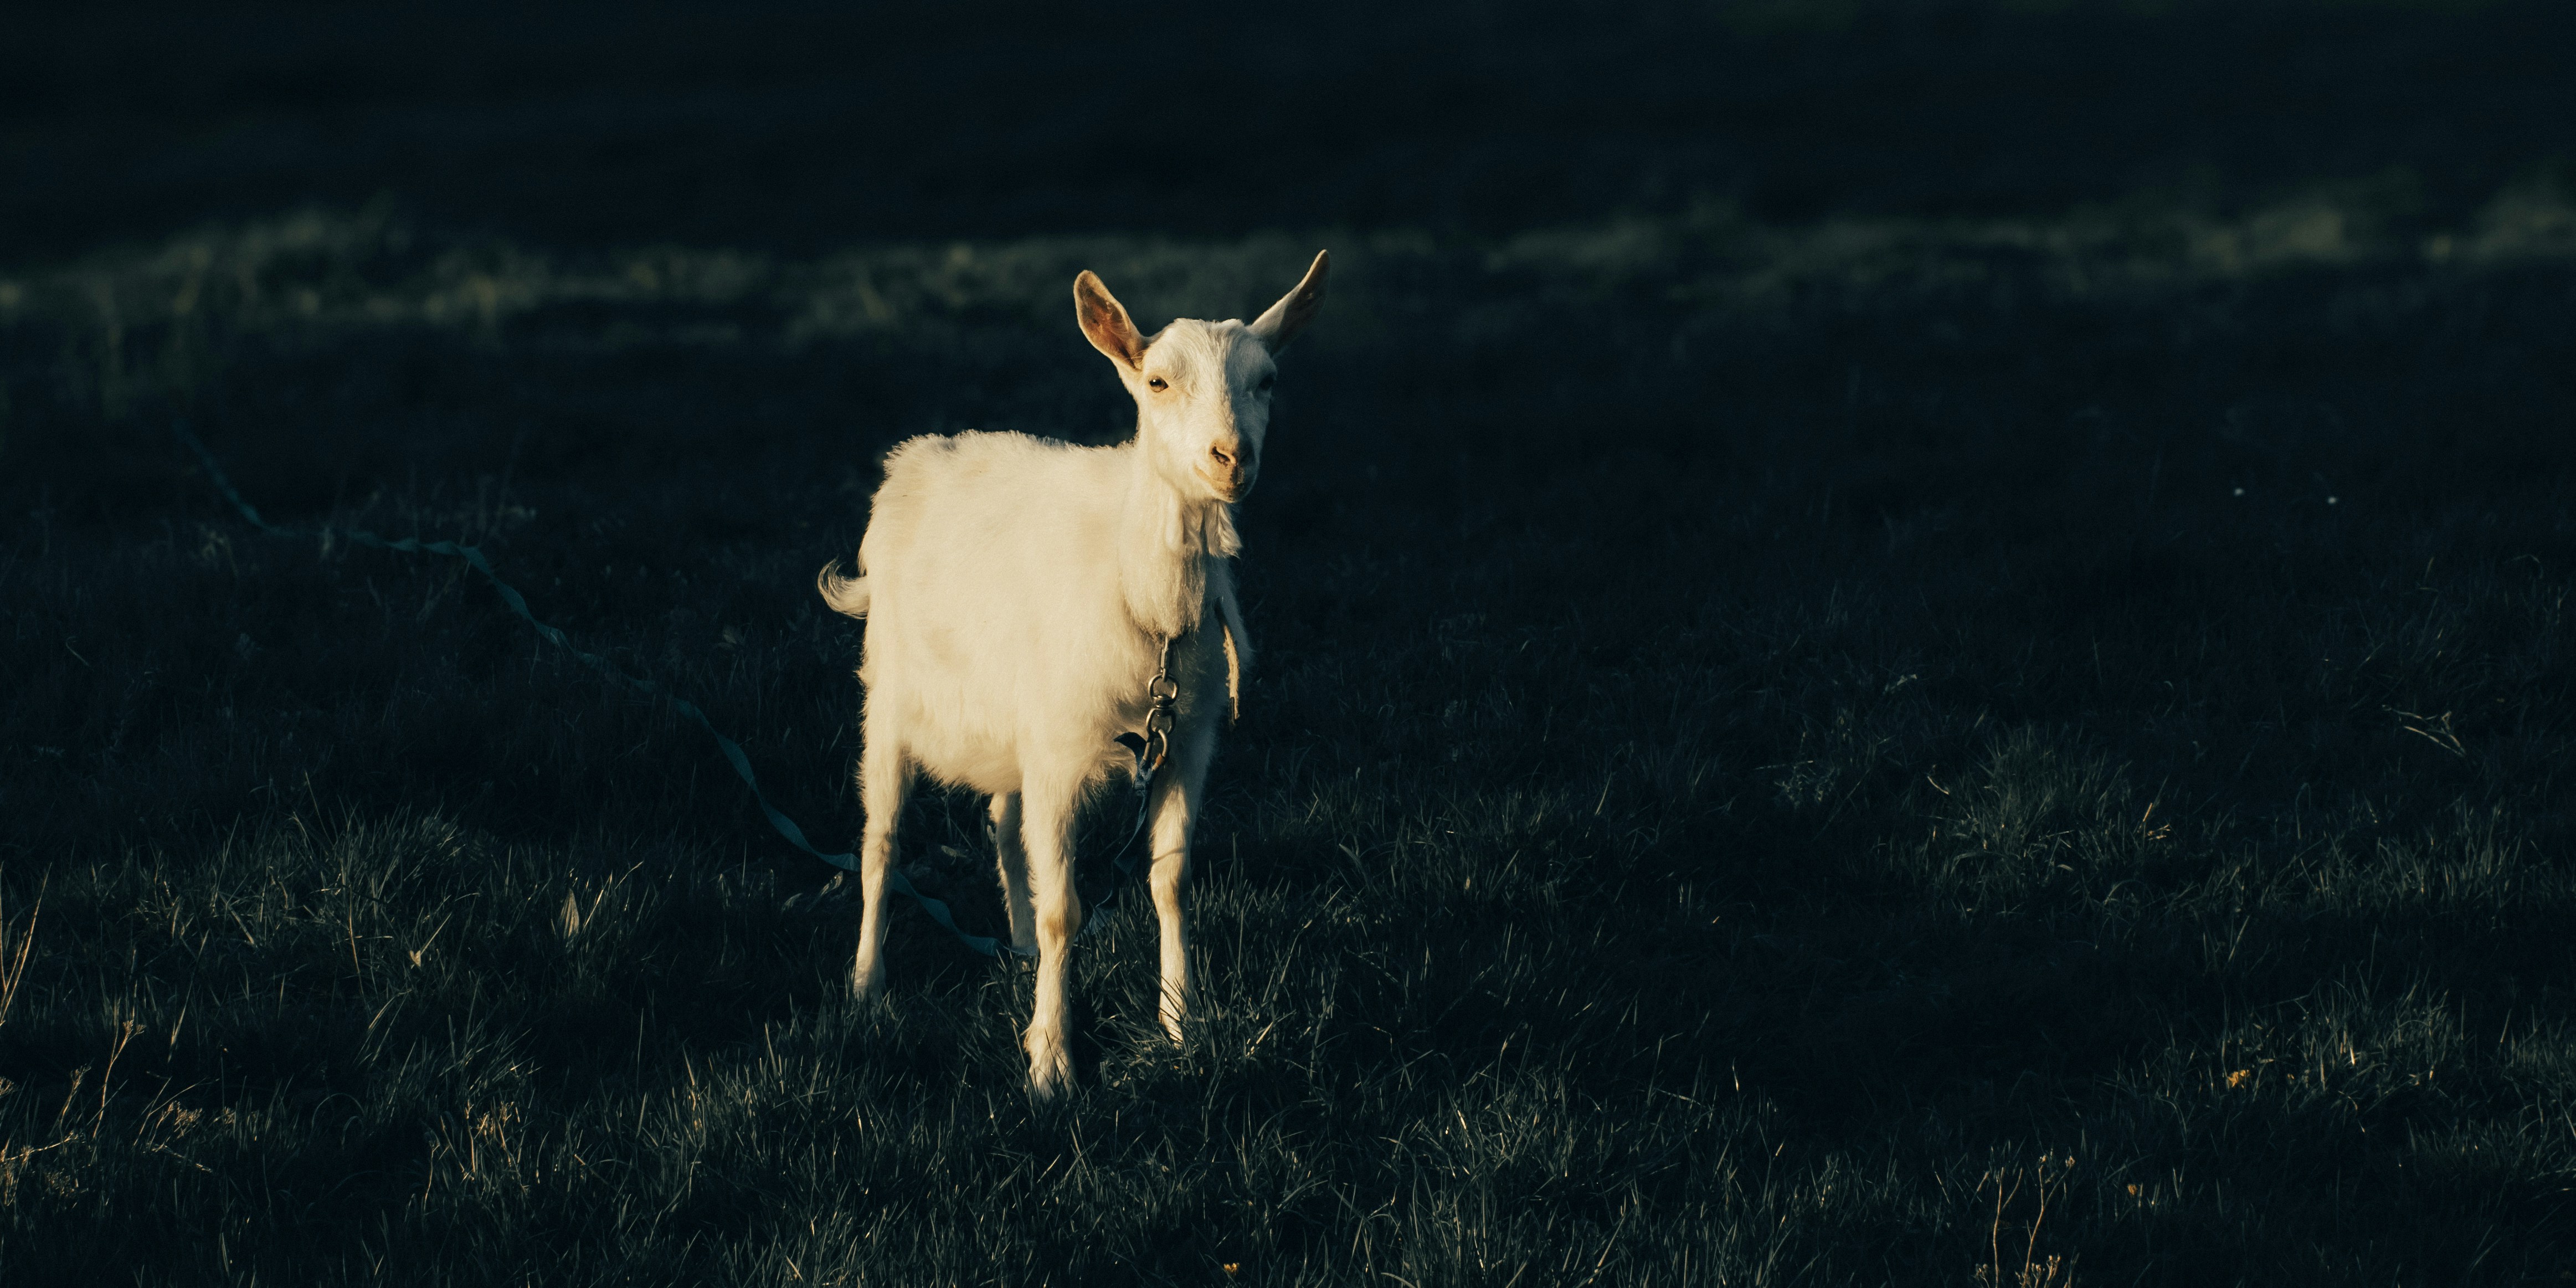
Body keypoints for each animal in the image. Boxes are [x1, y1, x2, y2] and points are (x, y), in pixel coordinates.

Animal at [817, 252, 1328, 1098]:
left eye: (1268, 380)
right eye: (1157, 381)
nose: (1231, 459)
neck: (1145, 601)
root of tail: (918, 454)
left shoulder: (1185, 746)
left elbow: (1168, 881)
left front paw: (1180, 1021)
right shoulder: (1058, 753)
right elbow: (1066, 908)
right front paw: (1051, 1061)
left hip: (1012, 722)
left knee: (1002, 822)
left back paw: (1021, 947)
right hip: (889, 700)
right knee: (880, 843)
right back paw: (866, 987)